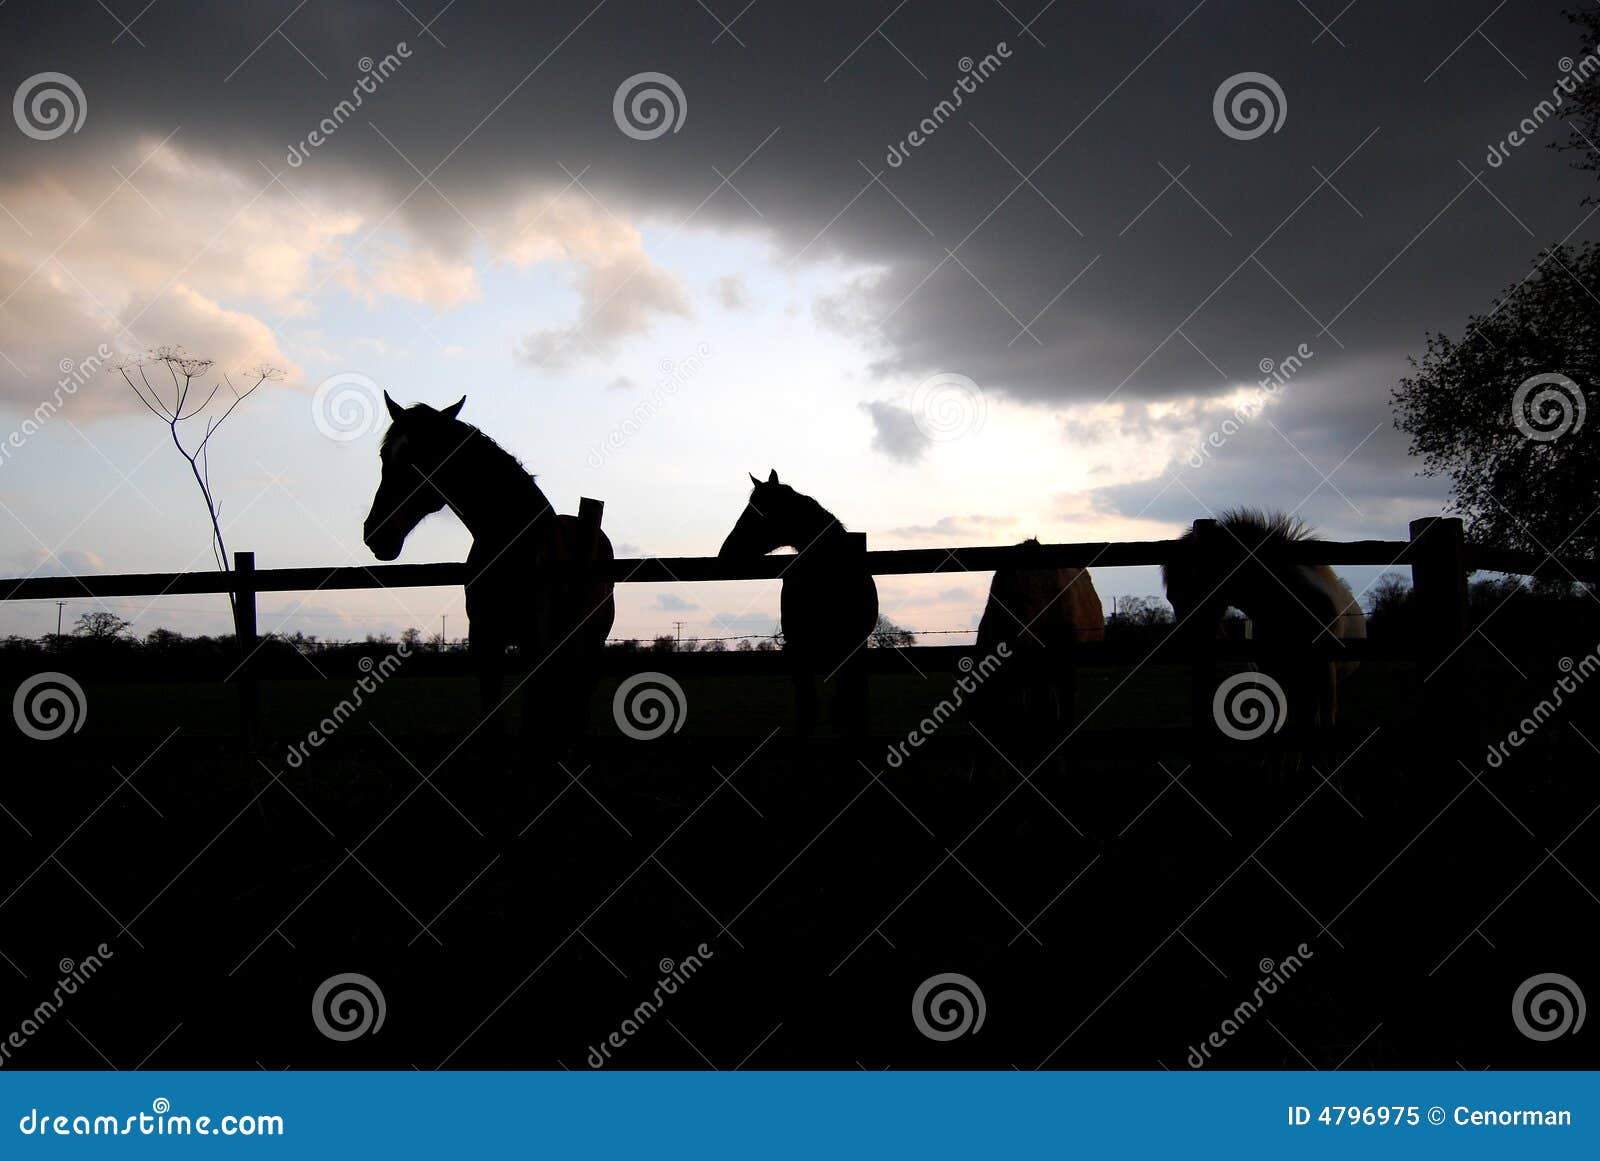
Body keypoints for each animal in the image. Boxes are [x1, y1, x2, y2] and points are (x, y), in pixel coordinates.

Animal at [362, 393, 615, 751]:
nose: (377, 534)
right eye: (385, 455)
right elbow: (491, 717)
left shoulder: (533, 643)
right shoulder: (484, 639)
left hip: (590, 643)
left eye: (424, 458)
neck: (514, 543)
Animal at [718, 470, 878, 736]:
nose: (725, 553)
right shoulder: (799, 653)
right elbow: (808, 707)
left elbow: (840, 707)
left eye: (758, 511)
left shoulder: (850, 653)